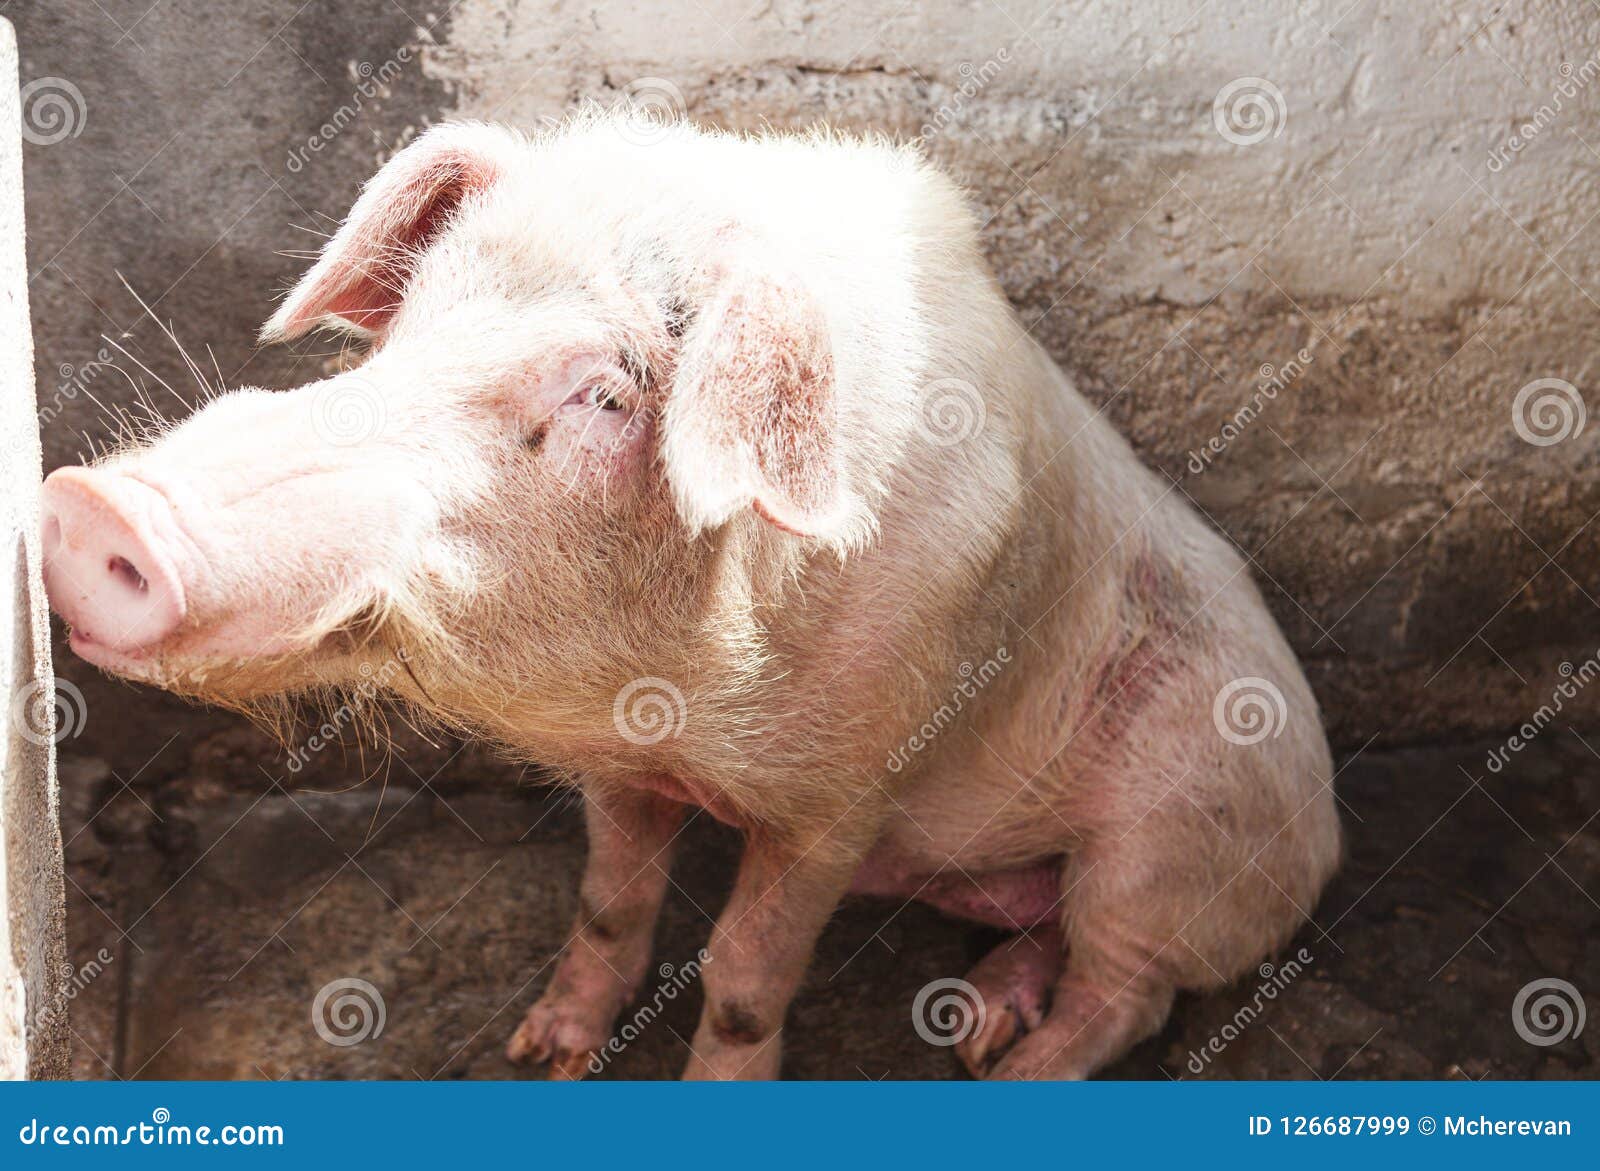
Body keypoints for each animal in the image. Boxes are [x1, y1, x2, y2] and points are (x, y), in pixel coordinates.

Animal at [40, 111, 1340, 1080]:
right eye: (408, 324)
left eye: (607, 397)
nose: (92, 508)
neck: (678, 713)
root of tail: (1325, 833)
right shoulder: (621, 763)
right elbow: (611, 901)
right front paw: (543, 1053)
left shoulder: (846, 792)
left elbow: (745, 973)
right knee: (1048, 933)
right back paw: (977, 1021)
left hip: (1182, 833)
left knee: (1127, 989)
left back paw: (1007, 1074)